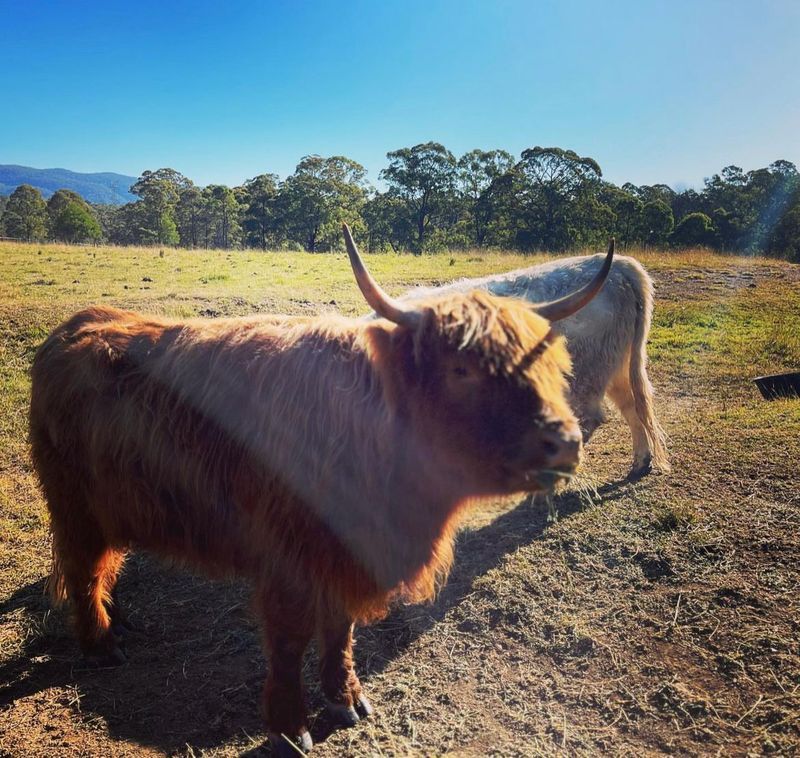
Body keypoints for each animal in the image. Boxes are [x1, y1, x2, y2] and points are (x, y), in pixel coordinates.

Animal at [29, 224, 613, 756]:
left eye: (546, 364)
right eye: (462, 369)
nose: (565, 442)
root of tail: (76, 325)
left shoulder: (346, 559)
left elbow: (340, 630)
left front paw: (345, 699)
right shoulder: (290, 562)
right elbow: (290, 644)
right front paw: (290, 726)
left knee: (104, 563)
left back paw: (121, 620)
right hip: (75, 505)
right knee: (83, 569)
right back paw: (102, 642)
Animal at [396, 248, 668, 478]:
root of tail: (621, 265)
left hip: (588, 370)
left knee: (590, 417)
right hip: (617, 363)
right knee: (632, 405)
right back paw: (641, 462)